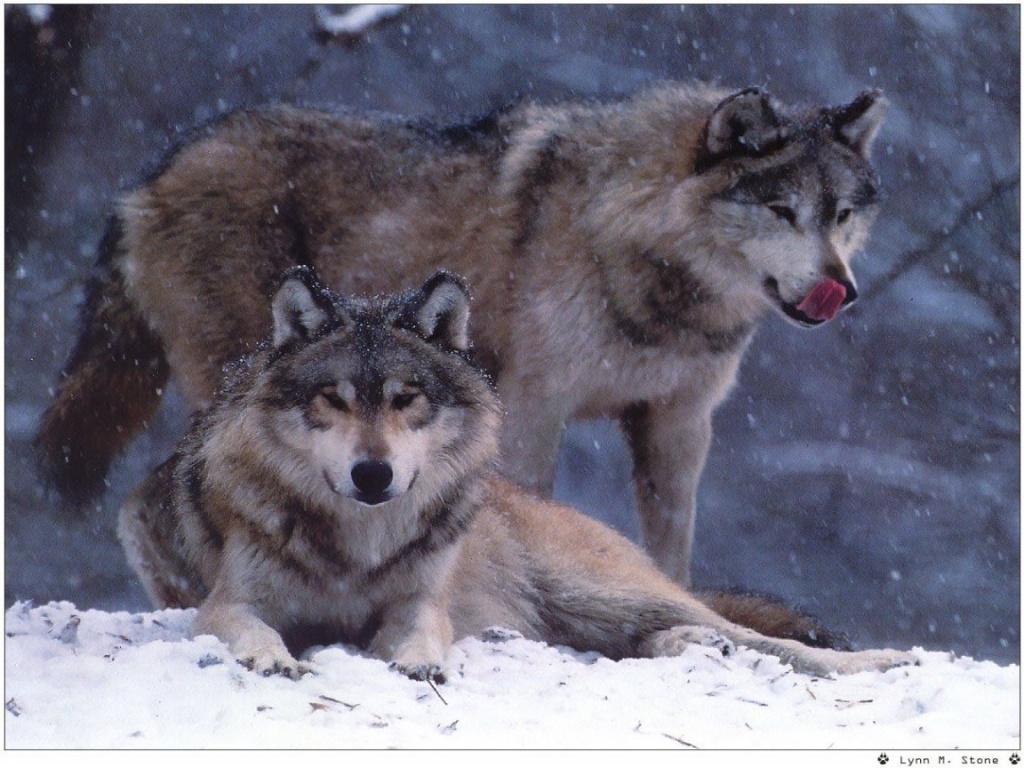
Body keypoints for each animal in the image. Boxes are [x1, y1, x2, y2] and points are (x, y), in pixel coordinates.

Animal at [39, 82, 888, 585]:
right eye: (782, 210)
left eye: (842, 214)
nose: (841, 290)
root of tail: (147, 181)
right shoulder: (537, 406)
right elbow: (536, 506)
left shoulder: (677, 422)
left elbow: (672, 547)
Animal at [116, 267, 914, 681]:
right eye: (333, 400)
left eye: (406, 399)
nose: (372, 474)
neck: (356, 545)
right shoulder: (226, 603)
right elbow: (248, 628)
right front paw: (272, 657)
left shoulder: (421, 604)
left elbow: (420, 634)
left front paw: (419, 666)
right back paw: (690, 649)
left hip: (599, 592)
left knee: (763, 636)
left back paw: (881, 658)